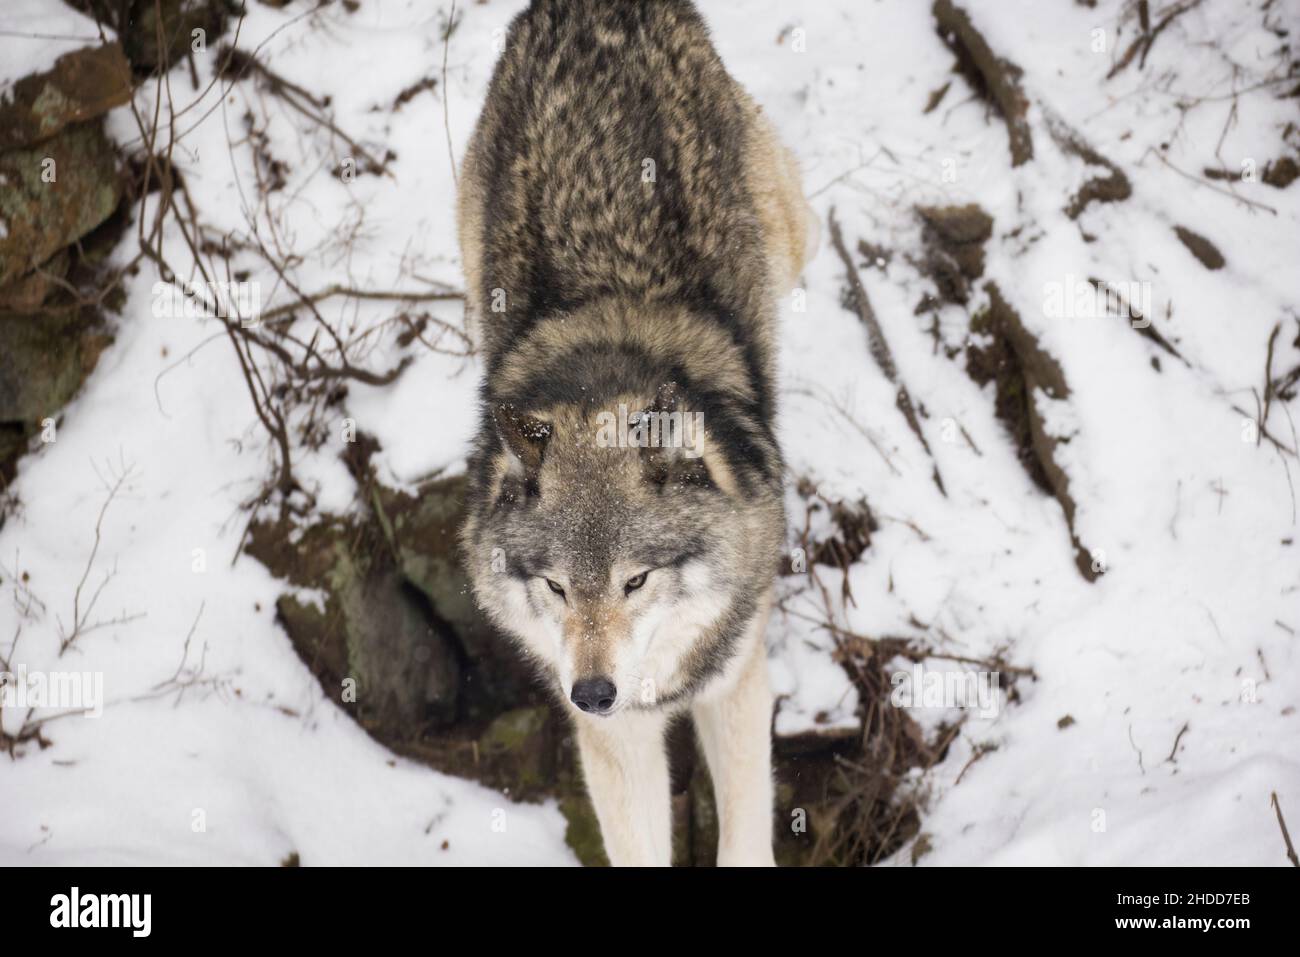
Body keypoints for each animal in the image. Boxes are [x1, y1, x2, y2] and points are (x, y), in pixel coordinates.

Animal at [457, 0, 814, 866]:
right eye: (556, 587)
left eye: (636, 580)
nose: (592, 691)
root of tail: (590, 7)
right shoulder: (616, 740)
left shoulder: (735, 683)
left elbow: (745, 834)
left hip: (792, 233)